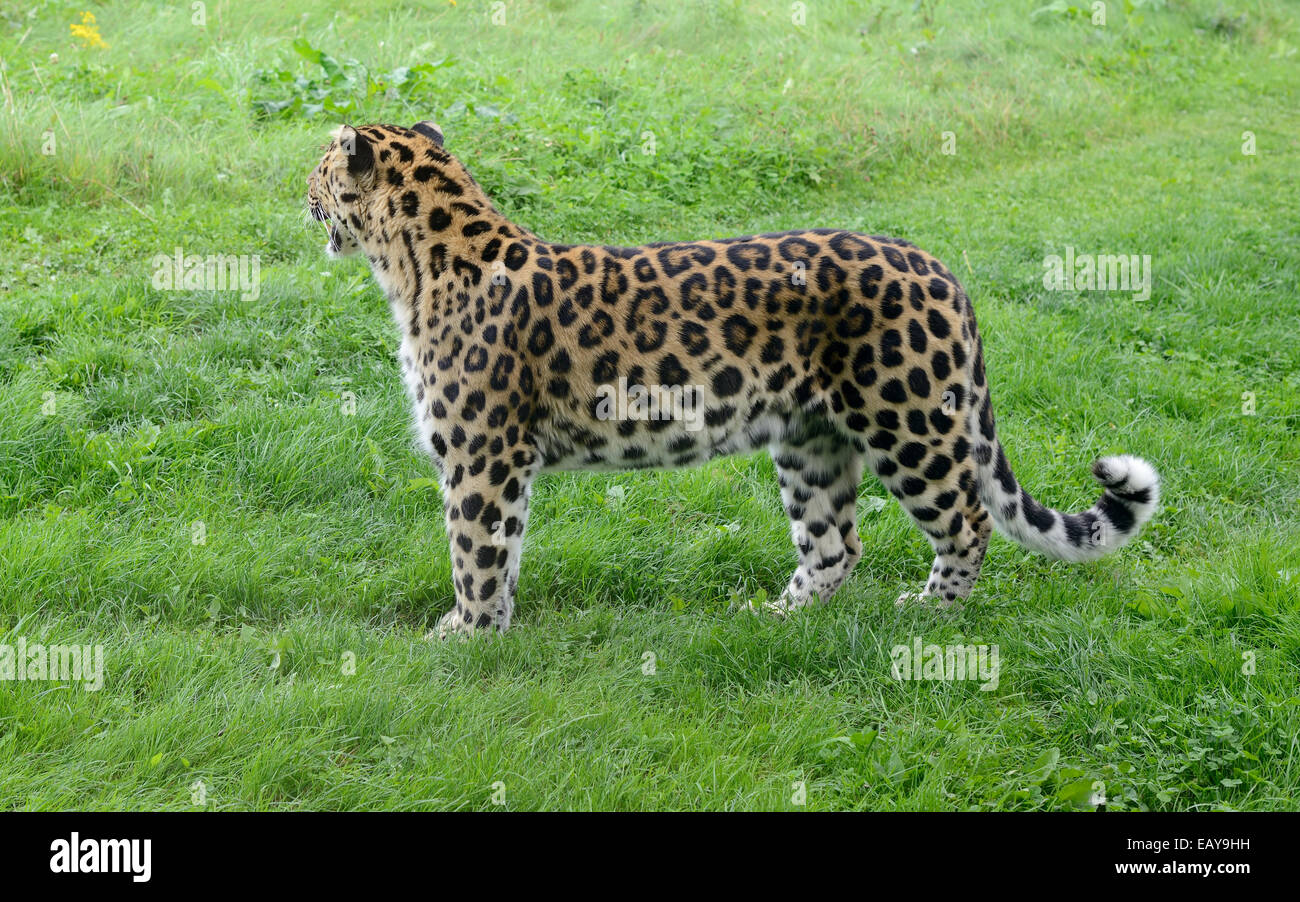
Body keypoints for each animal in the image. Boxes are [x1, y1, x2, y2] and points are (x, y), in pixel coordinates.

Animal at [306, 121, 1160, 639]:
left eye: (320, 168)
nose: (300, 193)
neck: (410, 266)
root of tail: (938, 267)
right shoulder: (497, 462)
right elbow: (501, 552)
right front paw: (486, 632)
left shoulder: (482, 456)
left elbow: (475, 552)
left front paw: (466, 639)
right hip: (811, 440)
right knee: (836, 543)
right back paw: (773, 617)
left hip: (910, 423)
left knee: (968, 521)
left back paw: (932, 614)